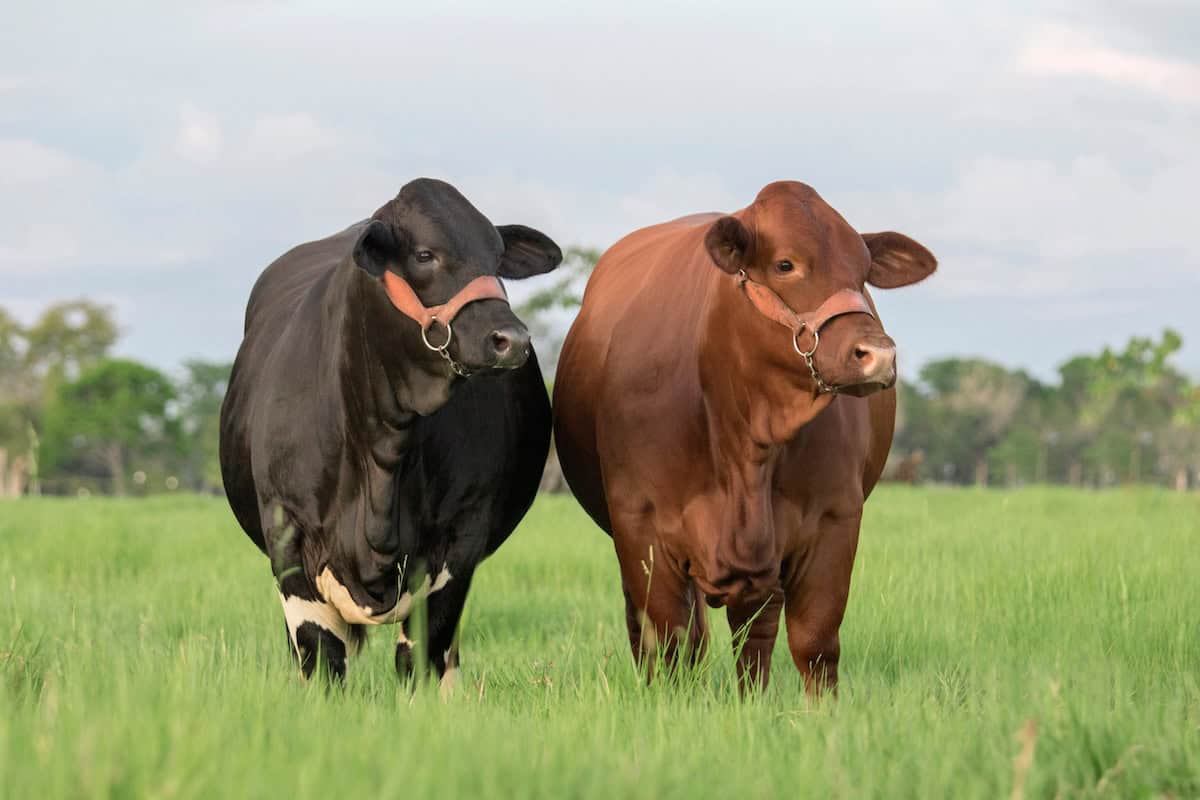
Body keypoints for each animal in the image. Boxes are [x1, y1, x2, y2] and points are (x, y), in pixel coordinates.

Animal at [219, 178, 561, 687]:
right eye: (424, 254)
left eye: (497, 256)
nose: (511, 340)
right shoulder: (288, 540)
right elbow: (322, 660)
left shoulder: (460, 541)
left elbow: (420, 660)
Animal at [552, 181, 936, 694]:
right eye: (785, 264)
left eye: (863, 272)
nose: (876, 355)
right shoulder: (641, 528)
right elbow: (668, 642)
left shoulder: (835, 520)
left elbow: (815, 646)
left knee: (754, 635)